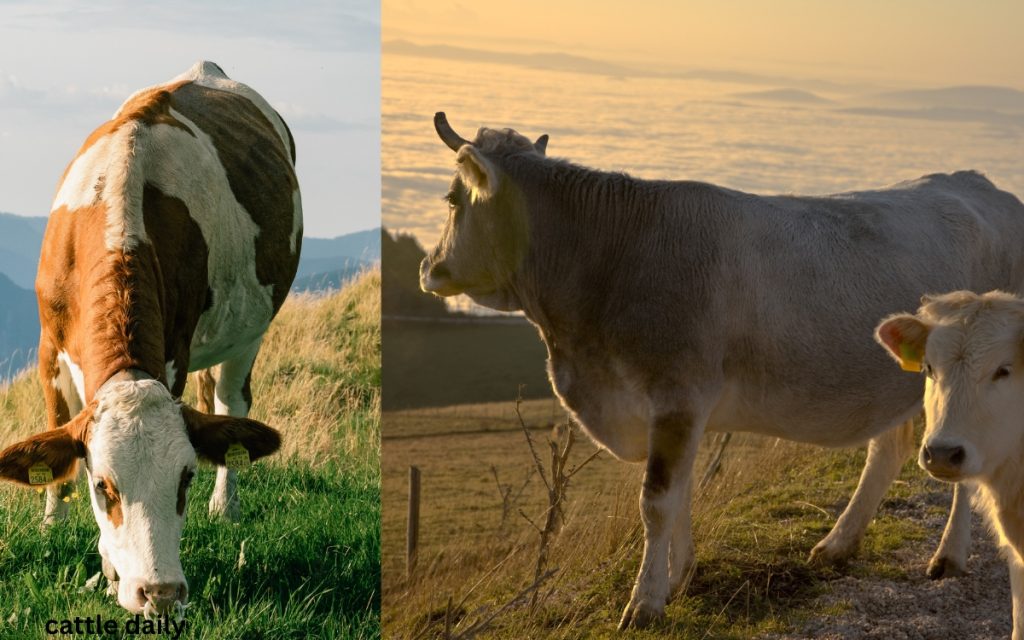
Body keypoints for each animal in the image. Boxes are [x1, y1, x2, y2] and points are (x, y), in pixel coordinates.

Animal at [0, 61, 300, 616]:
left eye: (185, 477)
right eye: (102, 486)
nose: (160, 593)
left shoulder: (174, 351)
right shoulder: (49, 345)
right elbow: (54, 431)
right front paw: (55, 529)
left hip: (250, 331)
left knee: (230, 401)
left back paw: (225, 506)